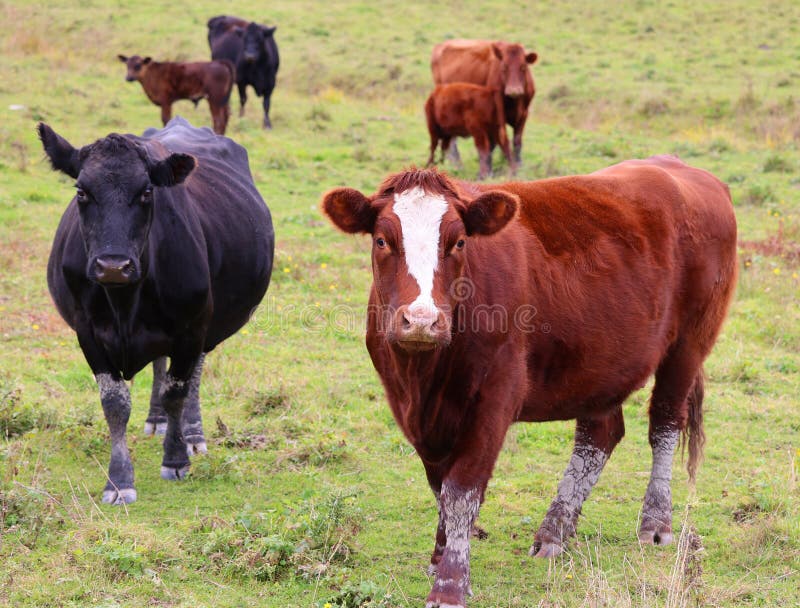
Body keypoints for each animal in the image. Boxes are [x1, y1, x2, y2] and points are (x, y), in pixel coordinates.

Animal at [38, 116, 274, 504]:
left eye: (146, 192)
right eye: (81, 192)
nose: (113, 265)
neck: (124, 303)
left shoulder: (191, 326)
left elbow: (177, 391)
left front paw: (176, 458)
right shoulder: (87, 333)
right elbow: (115, 403)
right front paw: (119, 480)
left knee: (193, 373)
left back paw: (192, 434)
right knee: (160, 363)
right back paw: (157, 418)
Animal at [321, 157, 737, 607]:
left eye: (459, 243)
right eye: (382, 240)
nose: (421, 320)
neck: (422, 380)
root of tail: (687, 171)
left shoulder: (495, 397)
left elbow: (462, 489)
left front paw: (450, 584)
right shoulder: (411, 409)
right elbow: (439, 486)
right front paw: (439, 557)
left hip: (689, 343)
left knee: (664, 422)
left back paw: (655, 523)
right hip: (600, 363)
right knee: (598, 436)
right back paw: (554, 531)